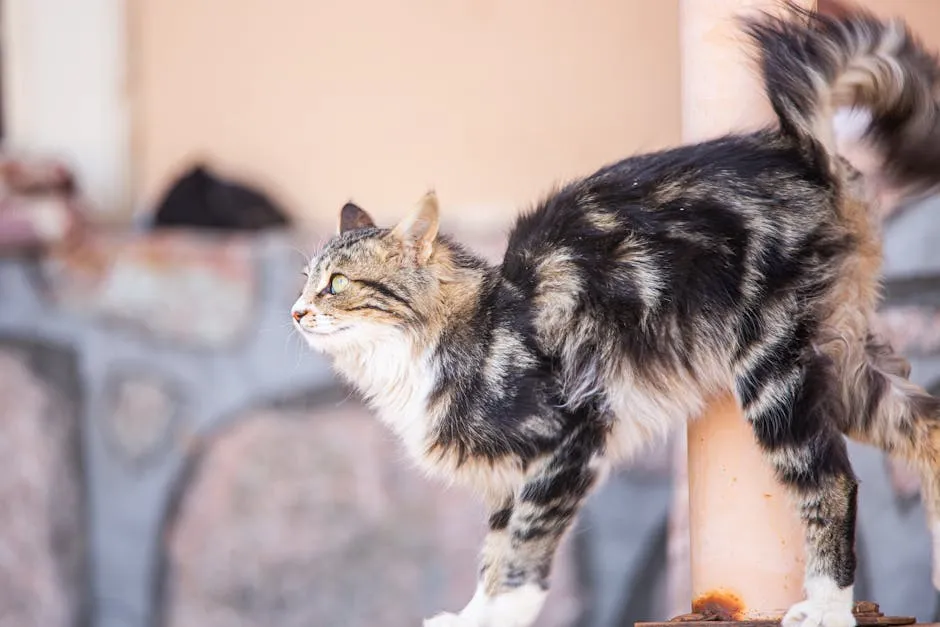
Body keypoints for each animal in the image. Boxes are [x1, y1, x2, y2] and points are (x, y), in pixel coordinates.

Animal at [290, 4, 940, 627]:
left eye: (337, 284)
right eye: (305, 281)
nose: (295, 312)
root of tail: (805, 153)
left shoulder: (569, 435)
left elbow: (523, 547)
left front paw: (508, 612)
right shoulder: (510, 474)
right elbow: (492, 553)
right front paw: (475, 616)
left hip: (774, 373)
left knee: (832, 482)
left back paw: (828, 608)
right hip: (838, 364)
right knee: (927, 422)